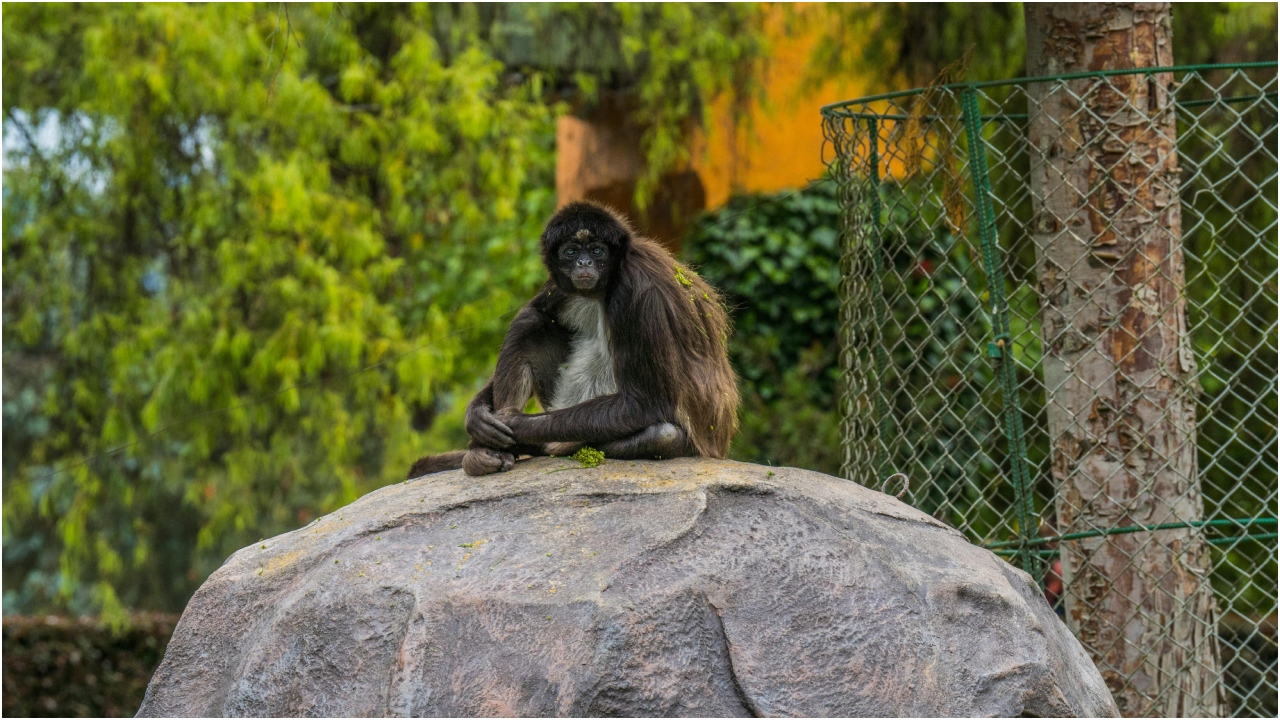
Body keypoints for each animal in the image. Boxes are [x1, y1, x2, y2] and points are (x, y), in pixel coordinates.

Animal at [407, 201, 739, 478]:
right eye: (571, 251)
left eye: (596, 250)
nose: (583, 264)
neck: (607, 284)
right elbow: (537, 310)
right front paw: (476, 416)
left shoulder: (638, 289)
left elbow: (645, 402)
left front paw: (515, 423)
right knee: (530, 320)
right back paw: (486, 455)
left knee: (662, 434)